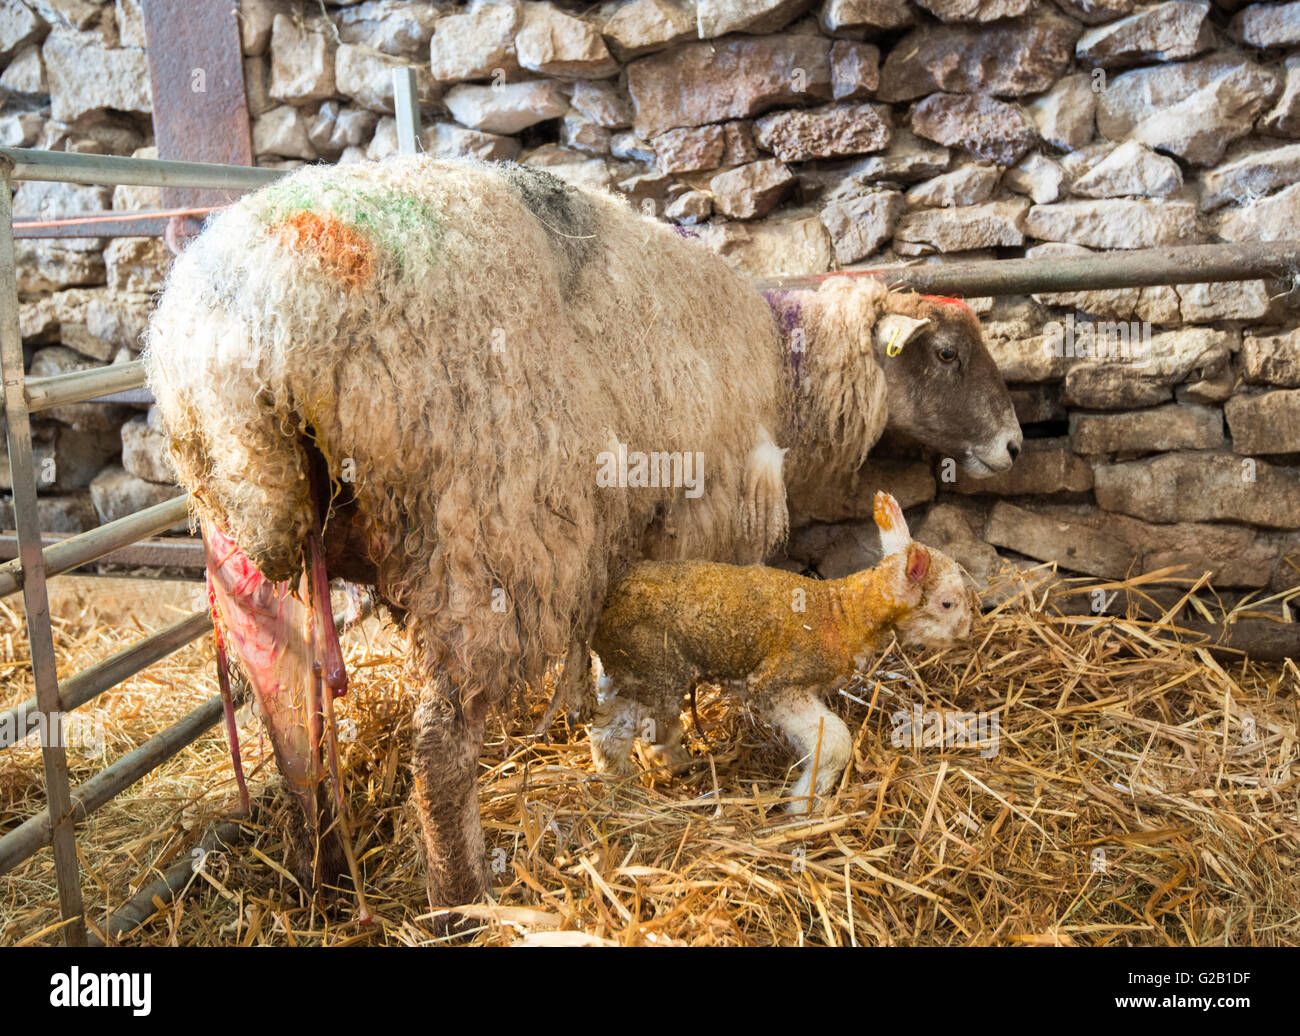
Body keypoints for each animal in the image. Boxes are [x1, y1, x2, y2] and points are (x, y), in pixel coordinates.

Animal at [589, 492, 971, 812]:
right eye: (947, 603)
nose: (967, 631)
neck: (842, 611)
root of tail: (610, 598)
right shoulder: (777, 684)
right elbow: (835, 742)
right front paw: (803, 804)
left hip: (625, 668)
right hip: (654, 670)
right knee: (610, 733)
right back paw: (624, 785)